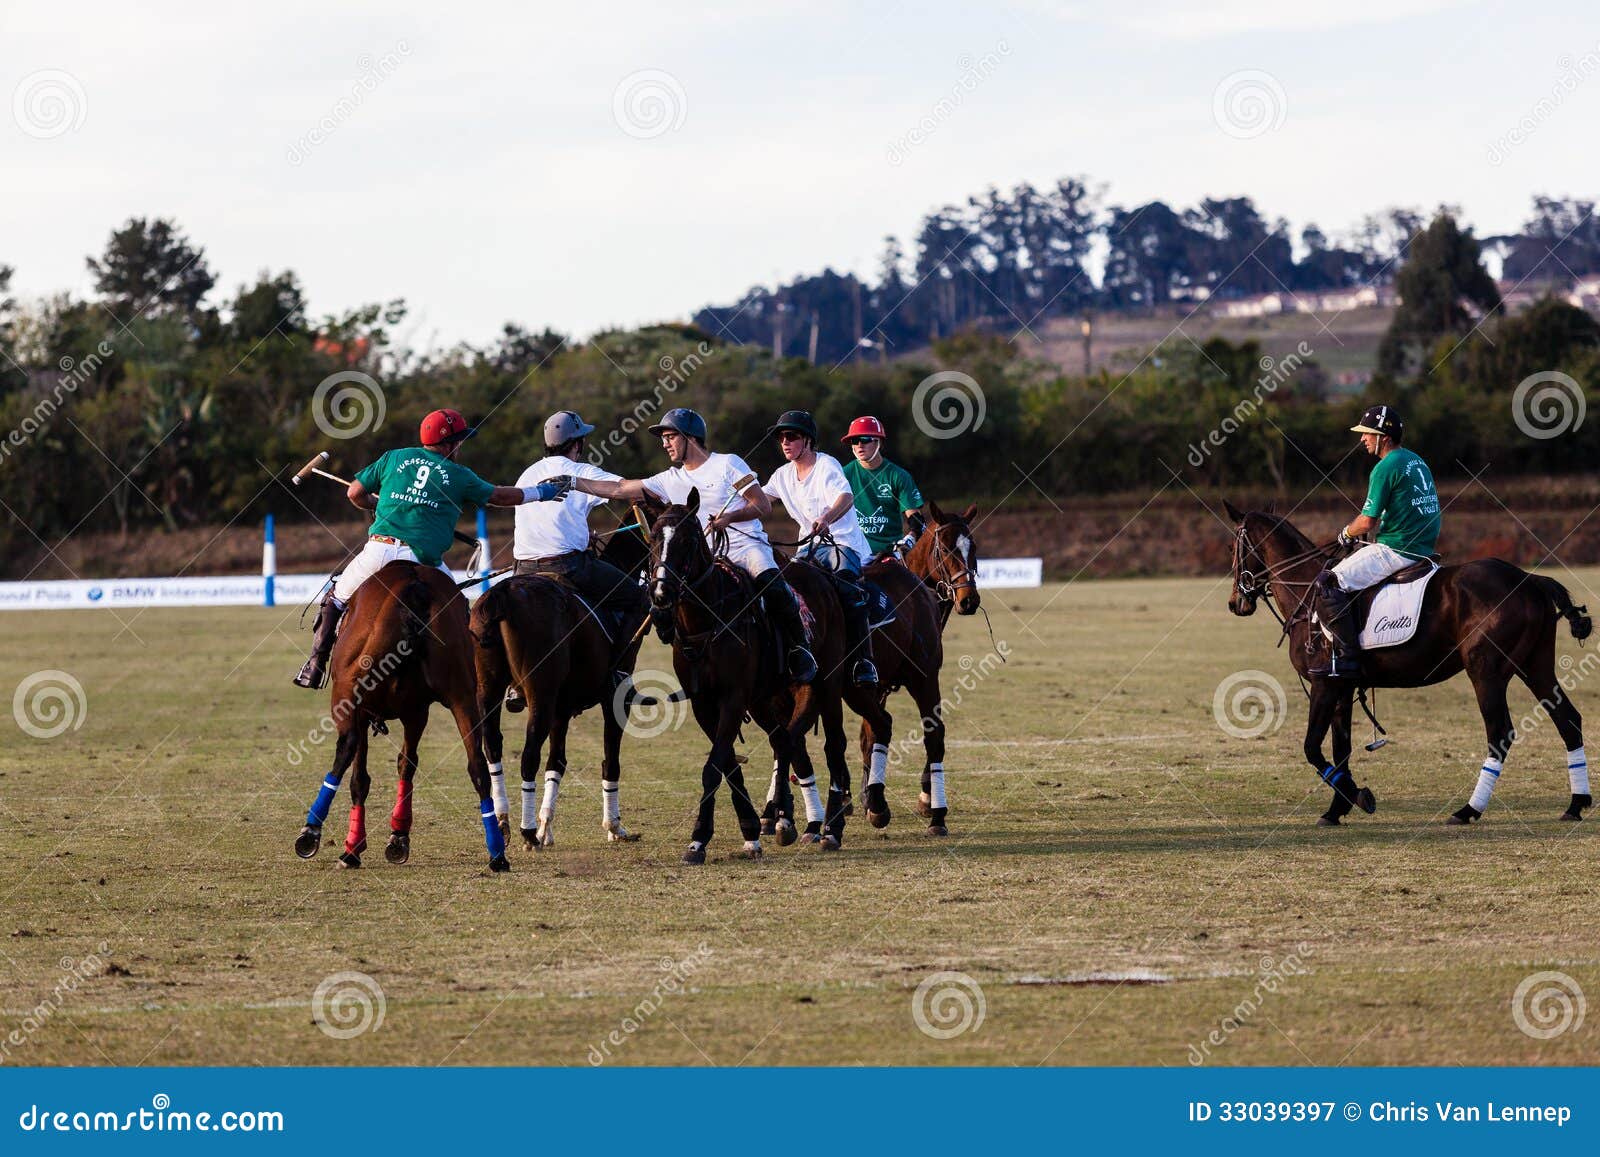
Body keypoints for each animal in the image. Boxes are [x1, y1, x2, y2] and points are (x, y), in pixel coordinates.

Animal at [293, 561, 508, 871]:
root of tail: (413, 585)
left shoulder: (362, 710)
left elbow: (360, 778)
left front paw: (353, 848)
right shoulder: (416, 712)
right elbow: (406, 763)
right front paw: (398, 837)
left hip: (347, 695)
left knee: (345, 750)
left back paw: (311, 833)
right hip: (463, 696)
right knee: (478, 766)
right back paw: (497, 853)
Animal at [471, 524, 652, 850]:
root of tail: (504, 593)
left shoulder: (562, 708)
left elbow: (556, 762)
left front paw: (547, 828)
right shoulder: (614, 699)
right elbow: (610, 758)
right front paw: (614, 826)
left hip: (488, 688)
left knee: (492, 746)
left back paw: (504, 821)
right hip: (540, 694)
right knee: (528, 755)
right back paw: (527, 831)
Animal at [646, 490, 888, 862]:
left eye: (688, 540)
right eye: (653, 539)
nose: (661, 595)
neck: (707, 621)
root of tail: (822, 574)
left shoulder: (733, 698)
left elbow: (713, 766)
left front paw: (698, 840)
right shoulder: (705, 704)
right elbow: (727, 763)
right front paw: (749, 830)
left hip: (830, 682)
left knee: (837, 742)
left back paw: (833, 828)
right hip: (767, 697)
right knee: (785, 740)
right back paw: (785, 819)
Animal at [1224, 500, 1593, 826]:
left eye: (1233, 548)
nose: (1235, 603)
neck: (1304, 593)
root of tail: (1530, 580)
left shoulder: (1324, 683)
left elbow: (1312, 748)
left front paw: (1360, 797)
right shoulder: (1342, 687)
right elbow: (1341, 749)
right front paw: (1335, 810)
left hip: (1486, 672)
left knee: (1500, 732)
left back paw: (1468, 810)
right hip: (1536, 665)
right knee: (1568, 719)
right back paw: (1576, 803)